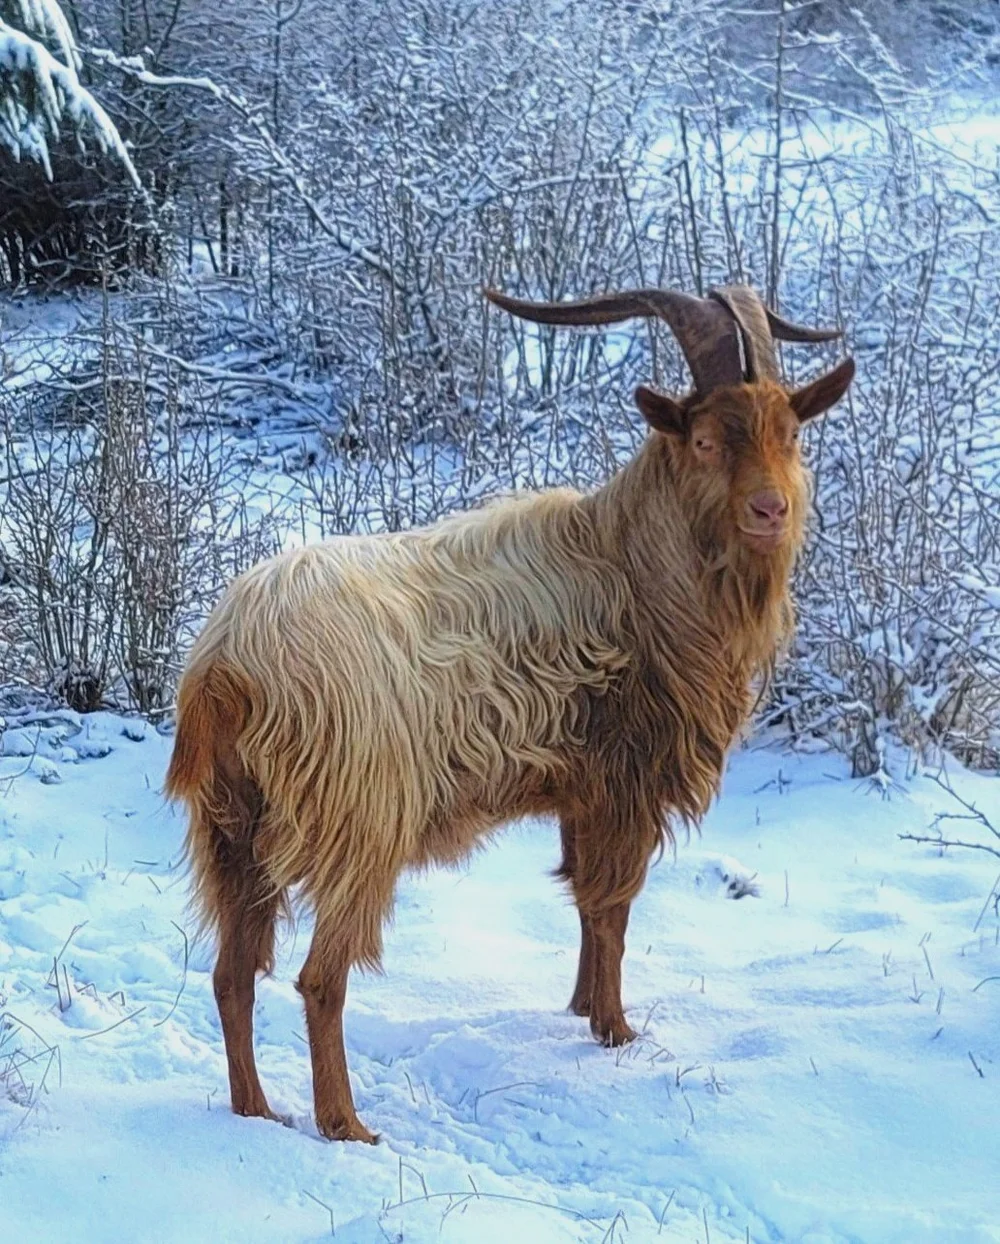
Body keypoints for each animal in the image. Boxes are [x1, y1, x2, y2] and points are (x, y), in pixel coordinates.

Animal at [165, 282, 854, 1143]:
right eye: (701, 440)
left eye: (789, 433)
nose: (770, 510)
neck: (636, 564)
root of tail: (228, 665)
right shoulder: (625, 779)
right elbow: (611, 908)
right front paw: (617, 1033)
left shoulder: (581, 790)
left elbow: (583, 901)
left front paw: (581, 1009)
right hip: (359, 823)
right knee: (320, 979)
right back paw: (346, 1126)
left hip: (232, 833)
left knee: (231, 973)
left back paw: (256, 1111)